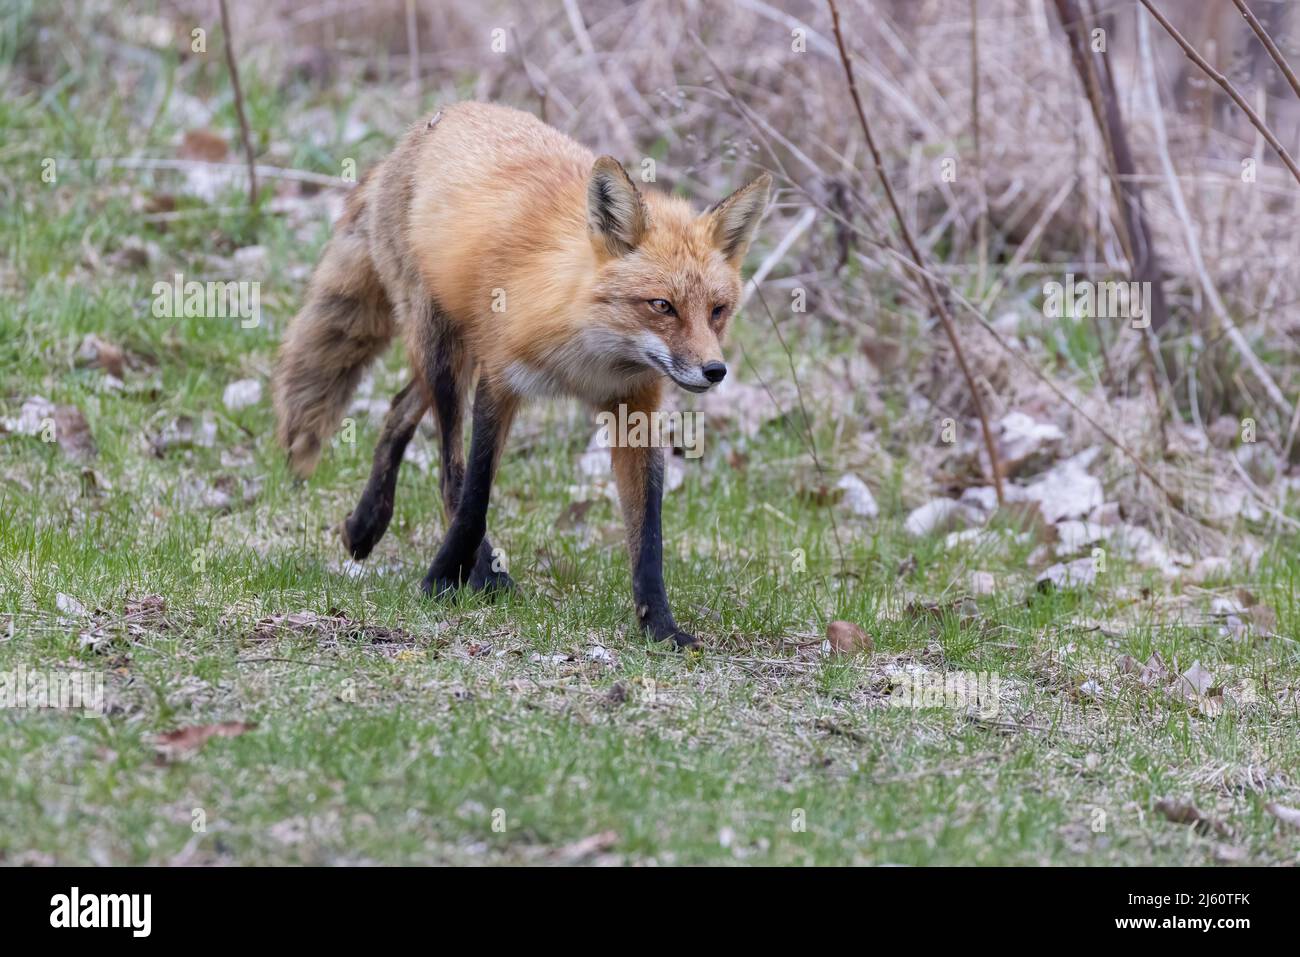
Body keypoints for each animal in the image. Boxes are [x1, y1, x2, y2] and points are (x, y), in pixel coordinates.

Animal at [272, 102, 771, 649]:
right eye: (662, 306)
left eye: (718, 310)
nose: (715, 370)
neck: (590, 357)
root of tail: (422, 128)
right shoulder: (500, 381)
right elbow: (475, 497)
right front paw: (439, 581)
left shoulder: (634, 406)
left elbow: (649, 534)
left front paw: (659, 625)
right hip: (445, 352)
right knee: (447, 467)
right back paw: (475, 571)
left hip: (453, 354)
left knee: (399, 406)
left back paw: (367, 525)